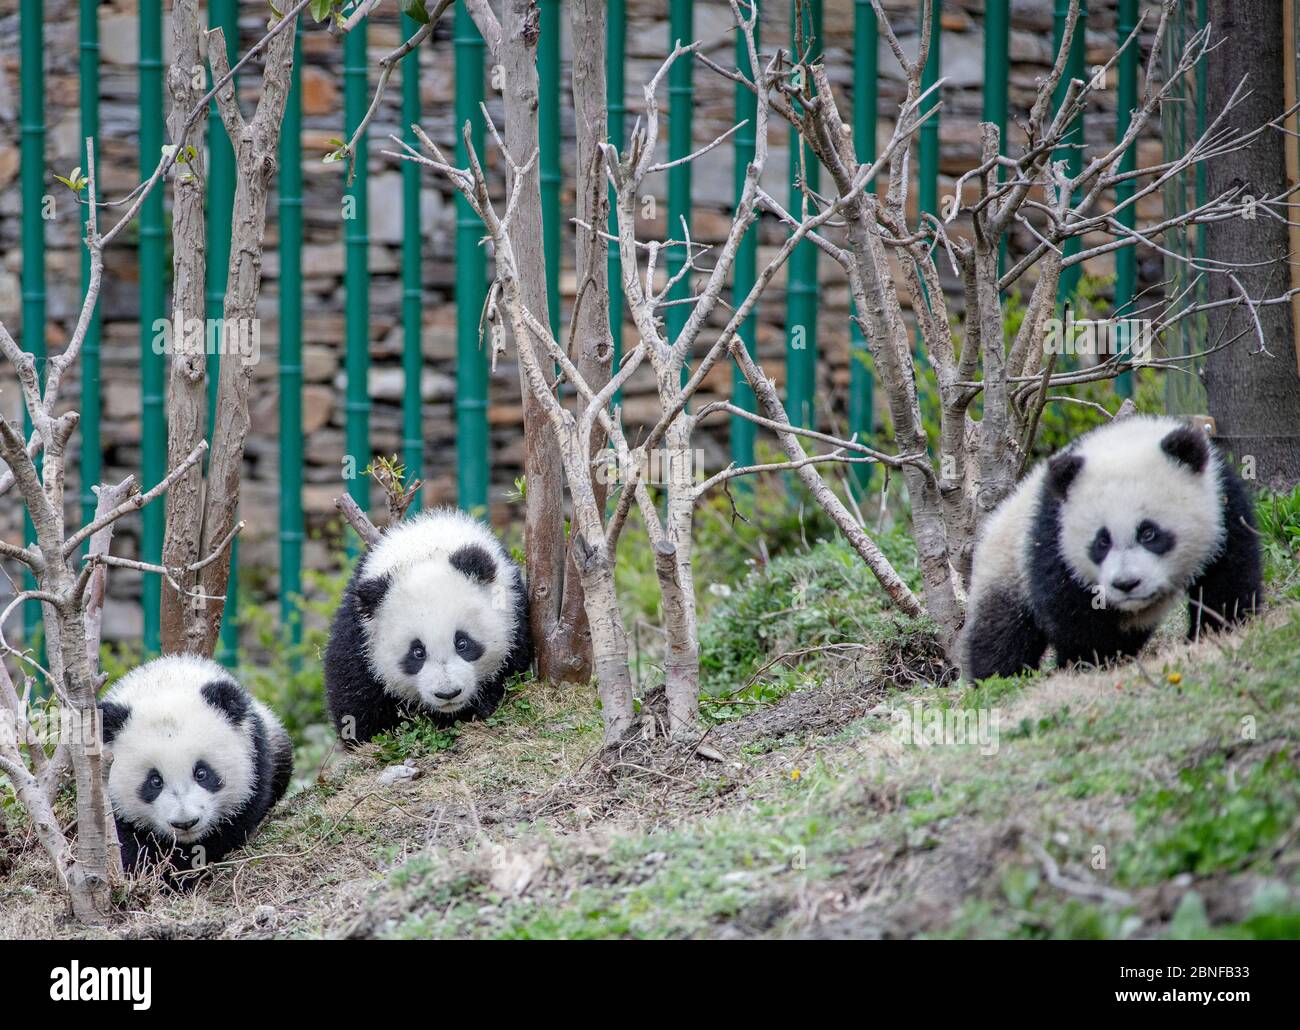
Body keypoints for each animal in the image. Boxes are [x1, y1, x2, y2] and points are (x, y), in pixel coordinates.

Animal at [323, 507, 532, 744]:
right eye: (417, 652)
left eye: (462, 643)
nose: (448, 693)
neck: (423, 548)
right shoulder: (358, 633)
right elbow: (355, 698)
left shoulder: (515, 612)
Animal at [961, 415, 1262, 681]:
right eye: (1102, 541)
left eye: (1148, 532)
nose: (1126, 584)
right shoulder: (1054, 538)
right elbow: (1074, 614)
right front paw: (1093, 661)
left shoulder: (1223, 505)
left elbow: (1228, 577)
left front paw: (1216, 631)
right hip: (1006, 565)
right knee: (1002, 633)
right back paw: (999, 676)